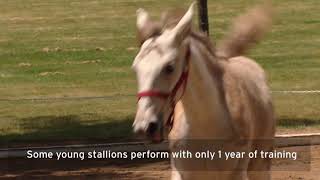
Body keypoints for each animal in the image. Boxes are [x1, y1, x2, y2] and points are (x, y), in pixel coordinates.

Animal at [132, 2, 276, 180]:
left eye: (169, 67)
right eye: (135, 67)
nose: (145, 127)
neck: (206, 125)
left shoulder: (237, 174)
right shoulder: (181, 173)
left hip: (260, 166)